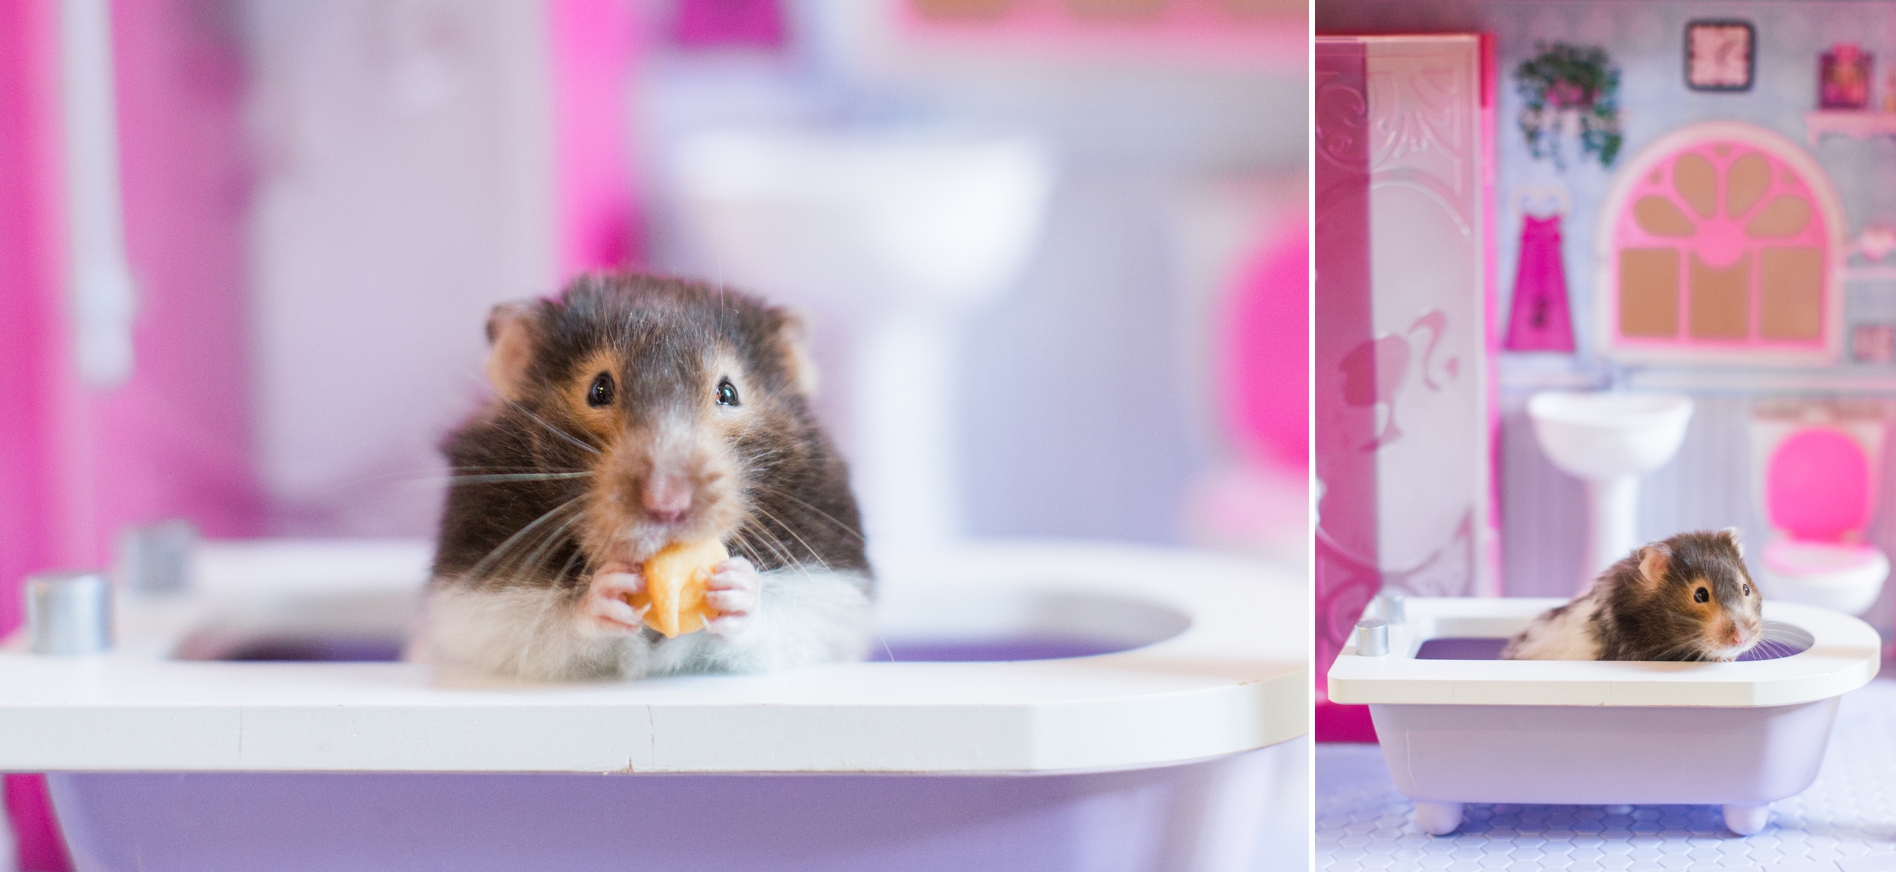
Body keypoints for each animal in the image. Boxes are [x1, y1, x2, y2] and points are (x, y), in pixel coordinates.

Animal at [416, 271, 874, 681]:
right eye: (598, 390)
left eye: (728, 393)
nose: (666, 503)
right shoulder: (474, 596)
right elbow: (551, 620)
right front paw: (605, 592)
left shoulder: (835, 586)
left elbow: (795, 611)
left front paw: (736, 589)